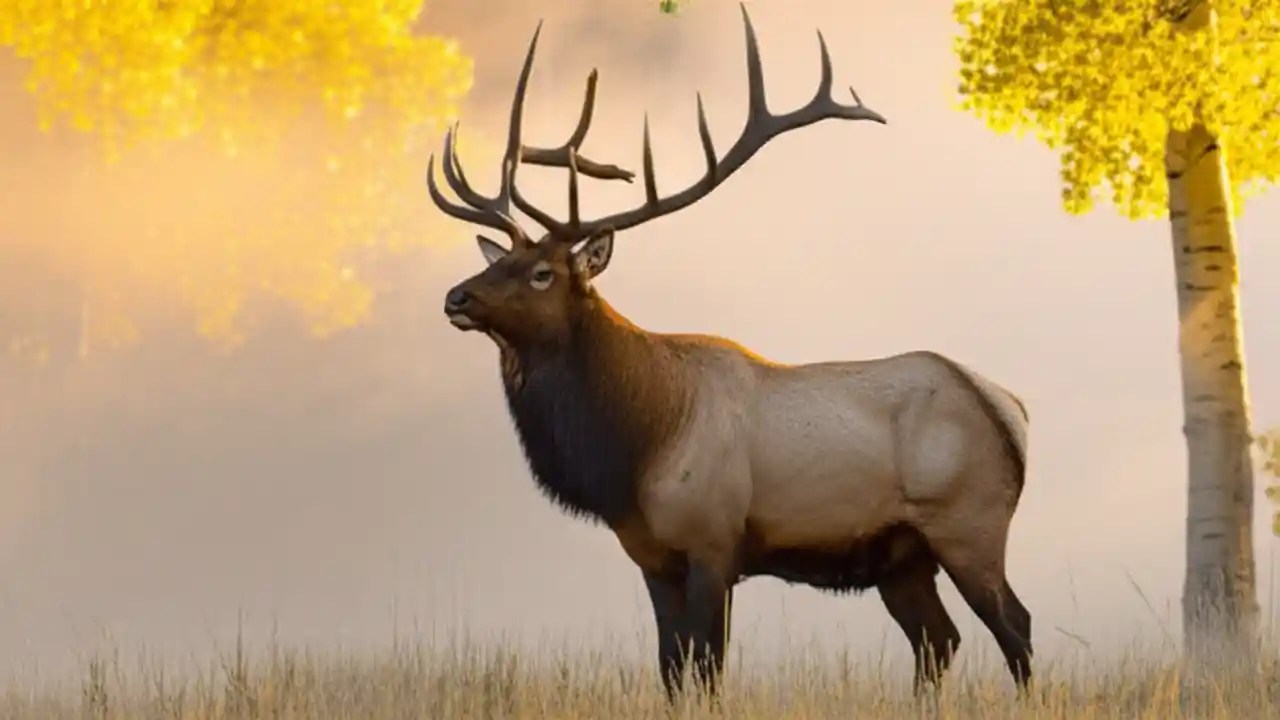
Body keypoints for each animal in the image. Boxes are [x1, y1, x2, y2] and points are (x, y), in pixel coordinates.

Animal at [430, 5, 1033, 699]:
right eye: (498, 259)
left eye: (541, 274)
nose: (456, 296)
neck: (635, 447)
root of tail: (1009, 410)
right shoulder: (651, 556)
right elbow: (671, 669)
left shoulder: (714, 542)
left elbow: (709, 666)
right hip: (901, 554)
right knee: (939, 640)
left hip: (969, 522)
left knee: (1014, 626)